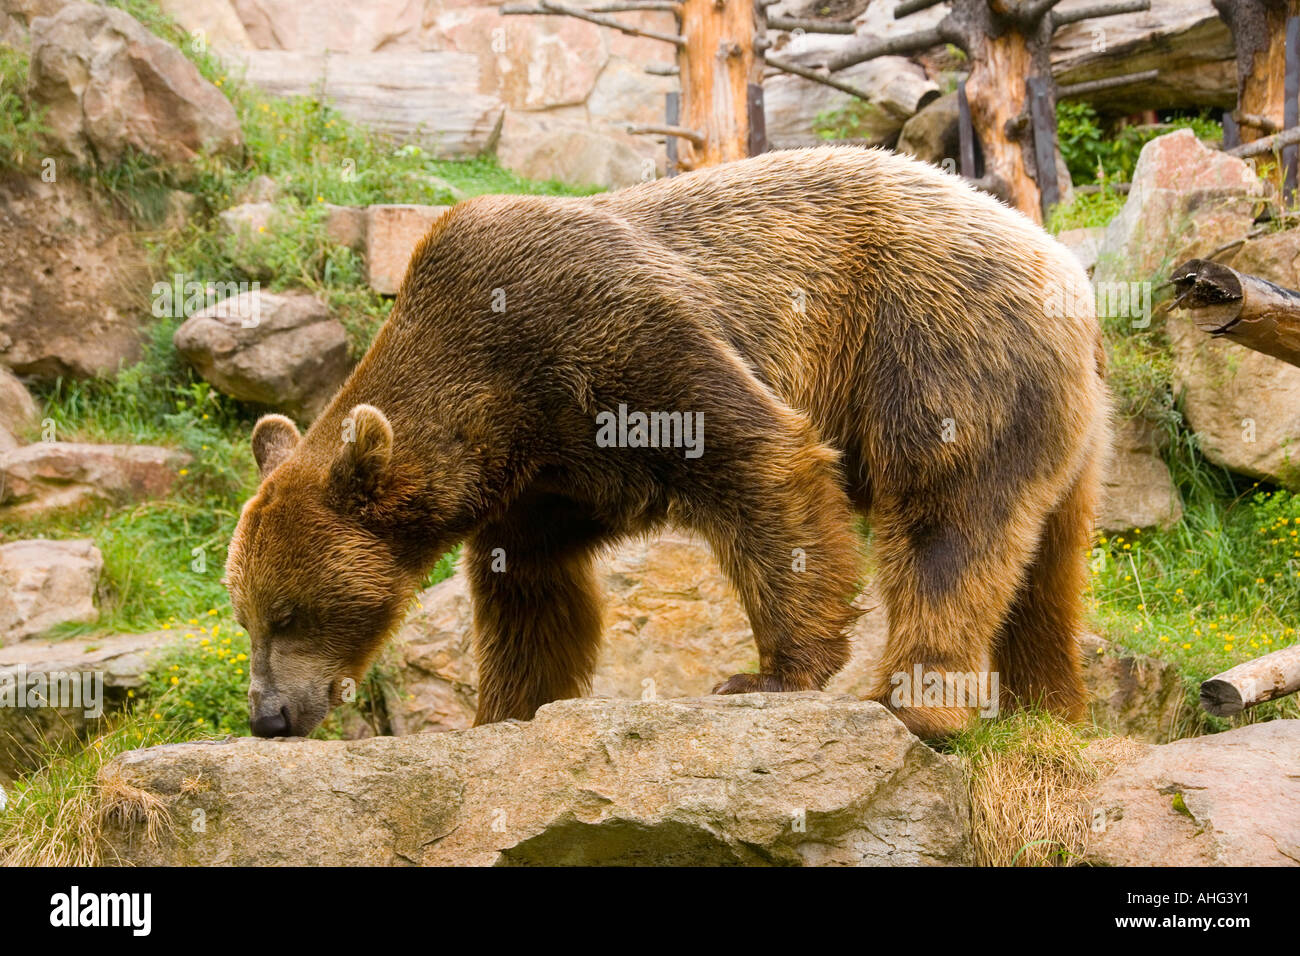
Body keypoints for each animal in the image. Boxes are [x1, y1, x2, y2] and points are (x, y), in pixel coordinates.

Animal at [224, 145, 1108, 740]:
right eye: (245, 614)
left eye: (289, 612)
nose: (269, 715)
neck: (495, 391)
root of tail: (1062, 262)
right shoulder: (552, 472)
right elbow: (533, 591)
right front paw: (503, 709)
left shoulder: (615, 336)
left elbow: (762, 460)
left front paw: (767, 674)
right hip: (1063, 427)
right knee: (1046, 567)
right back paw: (1049, 705)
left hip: (939, 346)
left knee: (945, 520)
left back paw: (916, 703)